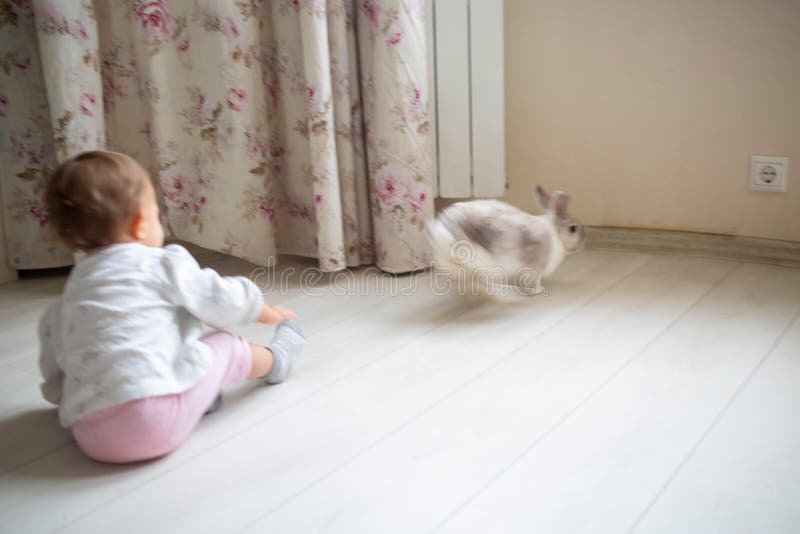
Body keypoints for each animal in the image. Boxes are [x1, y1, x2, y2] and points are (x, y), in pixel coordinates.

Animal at [427, 185, 585, 298]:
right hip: (480, 257)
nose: (582, 242)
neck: (555, 234)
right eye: (573, 229)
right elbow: (533, 280)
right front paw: (537, 290)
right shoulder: (535, 266)